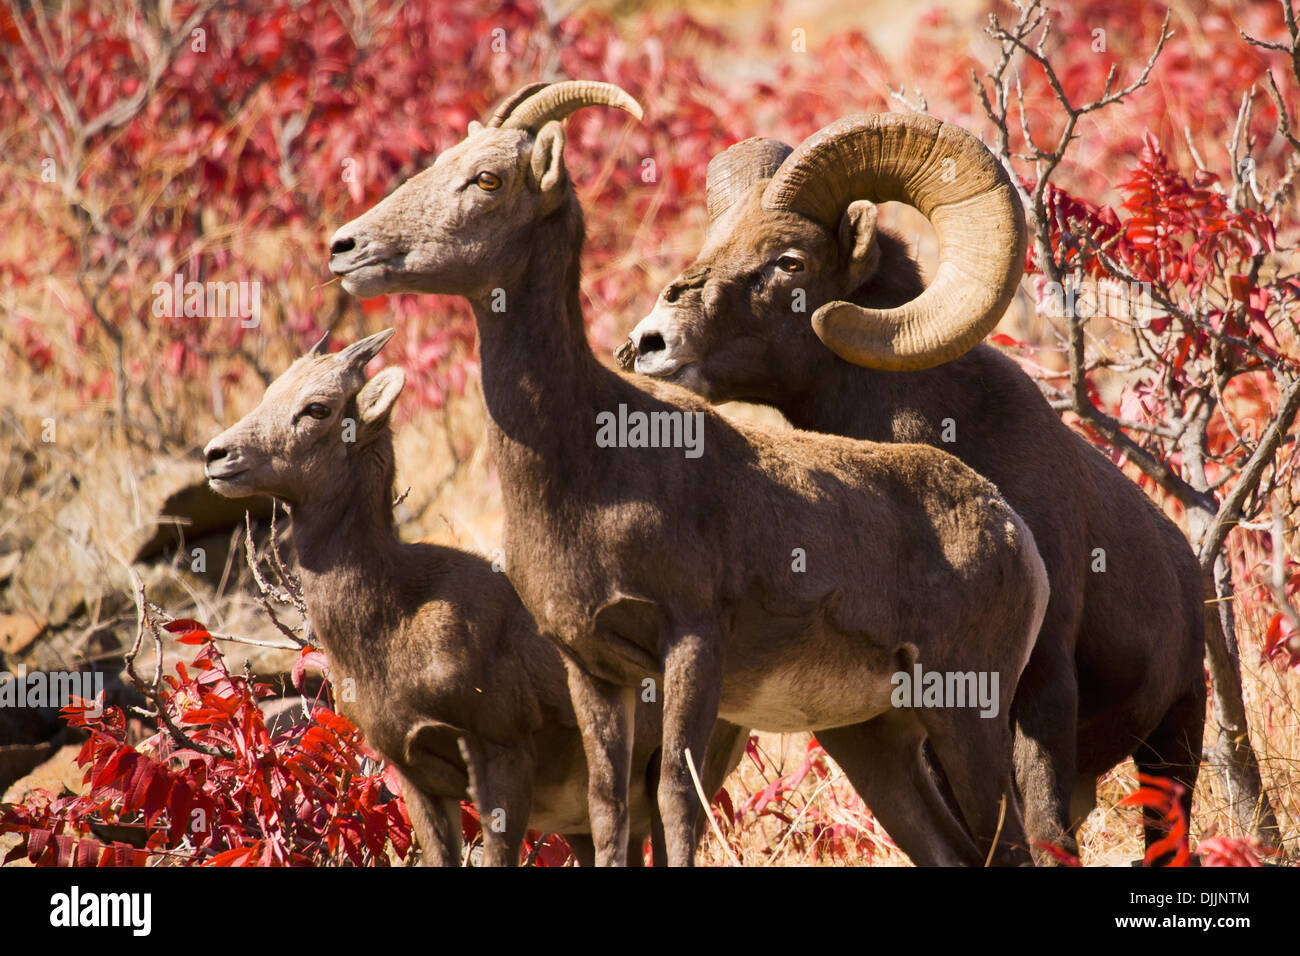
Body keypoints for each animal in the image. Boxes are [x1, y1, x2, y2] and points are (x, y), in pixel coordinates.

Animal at [202, 329, 747, 865]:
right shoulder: (416, 778)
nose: (216, 456)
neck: (396, 619)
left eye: (318, 408)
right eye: (271, 391)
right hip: (588, 824)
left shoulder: (501, 755)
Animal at [326, 81, 1052, 866]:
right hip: (878, 745)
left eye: (487, 180)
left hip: (968, 719)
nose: (346, 247)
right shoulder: (595, 671)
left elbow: (678, 797)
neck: (587, 462)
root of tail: (1009, 525)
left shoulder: (692, 646)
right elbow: (609, 807)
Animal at [617, 113, 1207, 859]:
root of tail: (1186, 565)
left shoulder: (1043, 685)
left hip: (1173, 743)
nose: (649, 344)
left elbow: (1045, 831)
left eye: (789, 261)